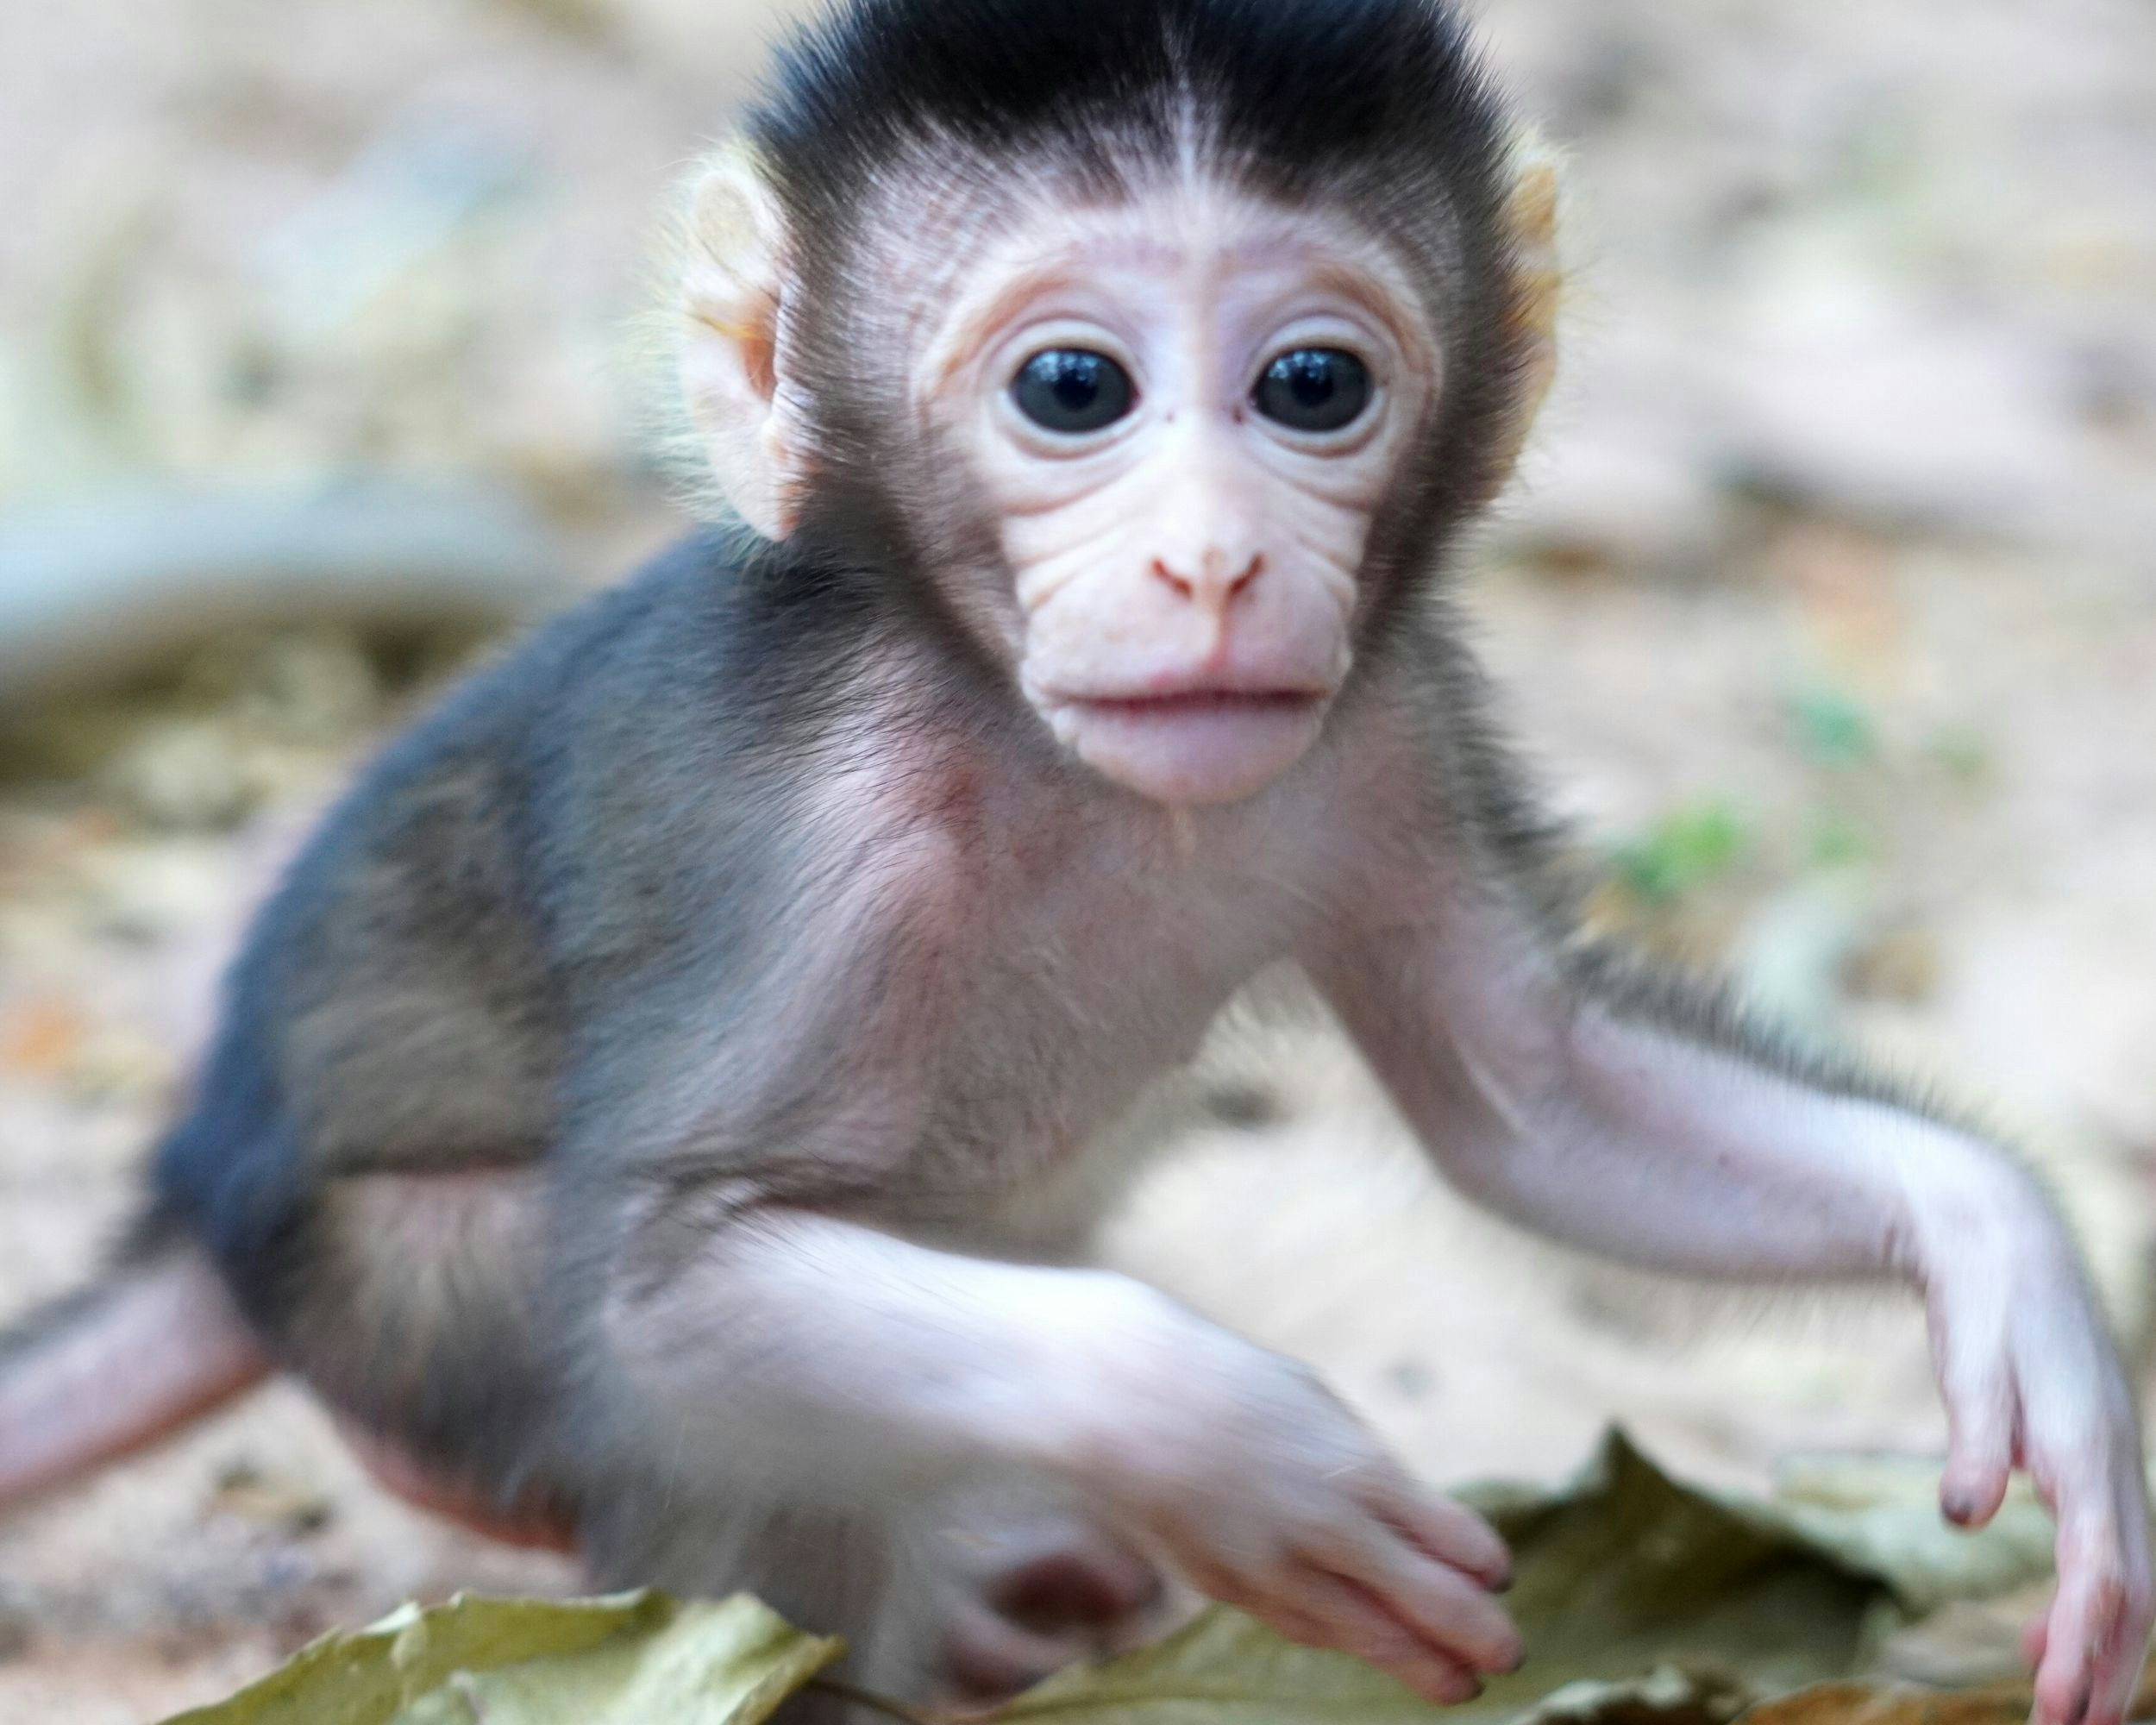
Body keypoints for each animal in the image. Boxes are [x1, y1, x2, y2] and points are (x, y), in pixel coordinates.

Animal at [0, 0, 2148, 1718]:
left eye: (1310, 386)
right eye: (1071, 389)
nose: (1209, 560)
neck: (1045, 756)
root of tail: (207, 1193)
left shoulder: (1386, 727)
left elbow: (1530, 1098)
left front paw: (2006, 1269)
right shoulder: (825, 847)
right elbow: (665, 1282)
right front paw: (1235, 1449)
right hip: (401, 1300)